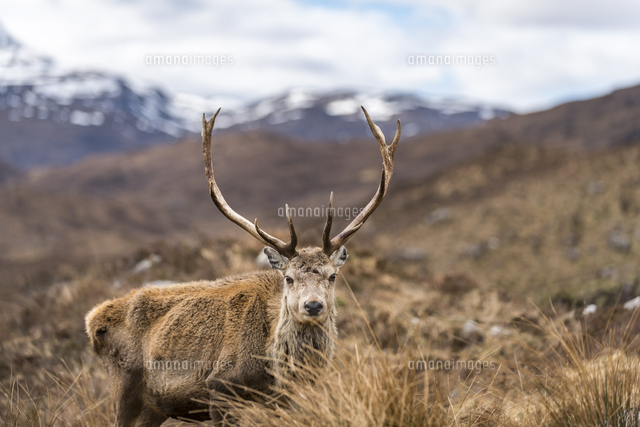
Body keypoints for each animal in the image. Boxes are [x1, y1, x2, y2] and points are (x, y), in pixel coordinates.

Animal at [85, 106, 401, 426]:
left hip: (154, 407)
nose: (313, 306)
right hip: (125, 387)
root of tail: (92, 320)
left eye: (333, 276)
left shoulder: (285, 401)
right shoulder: (219, 388)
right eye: (288, 278)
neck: (275, 368)